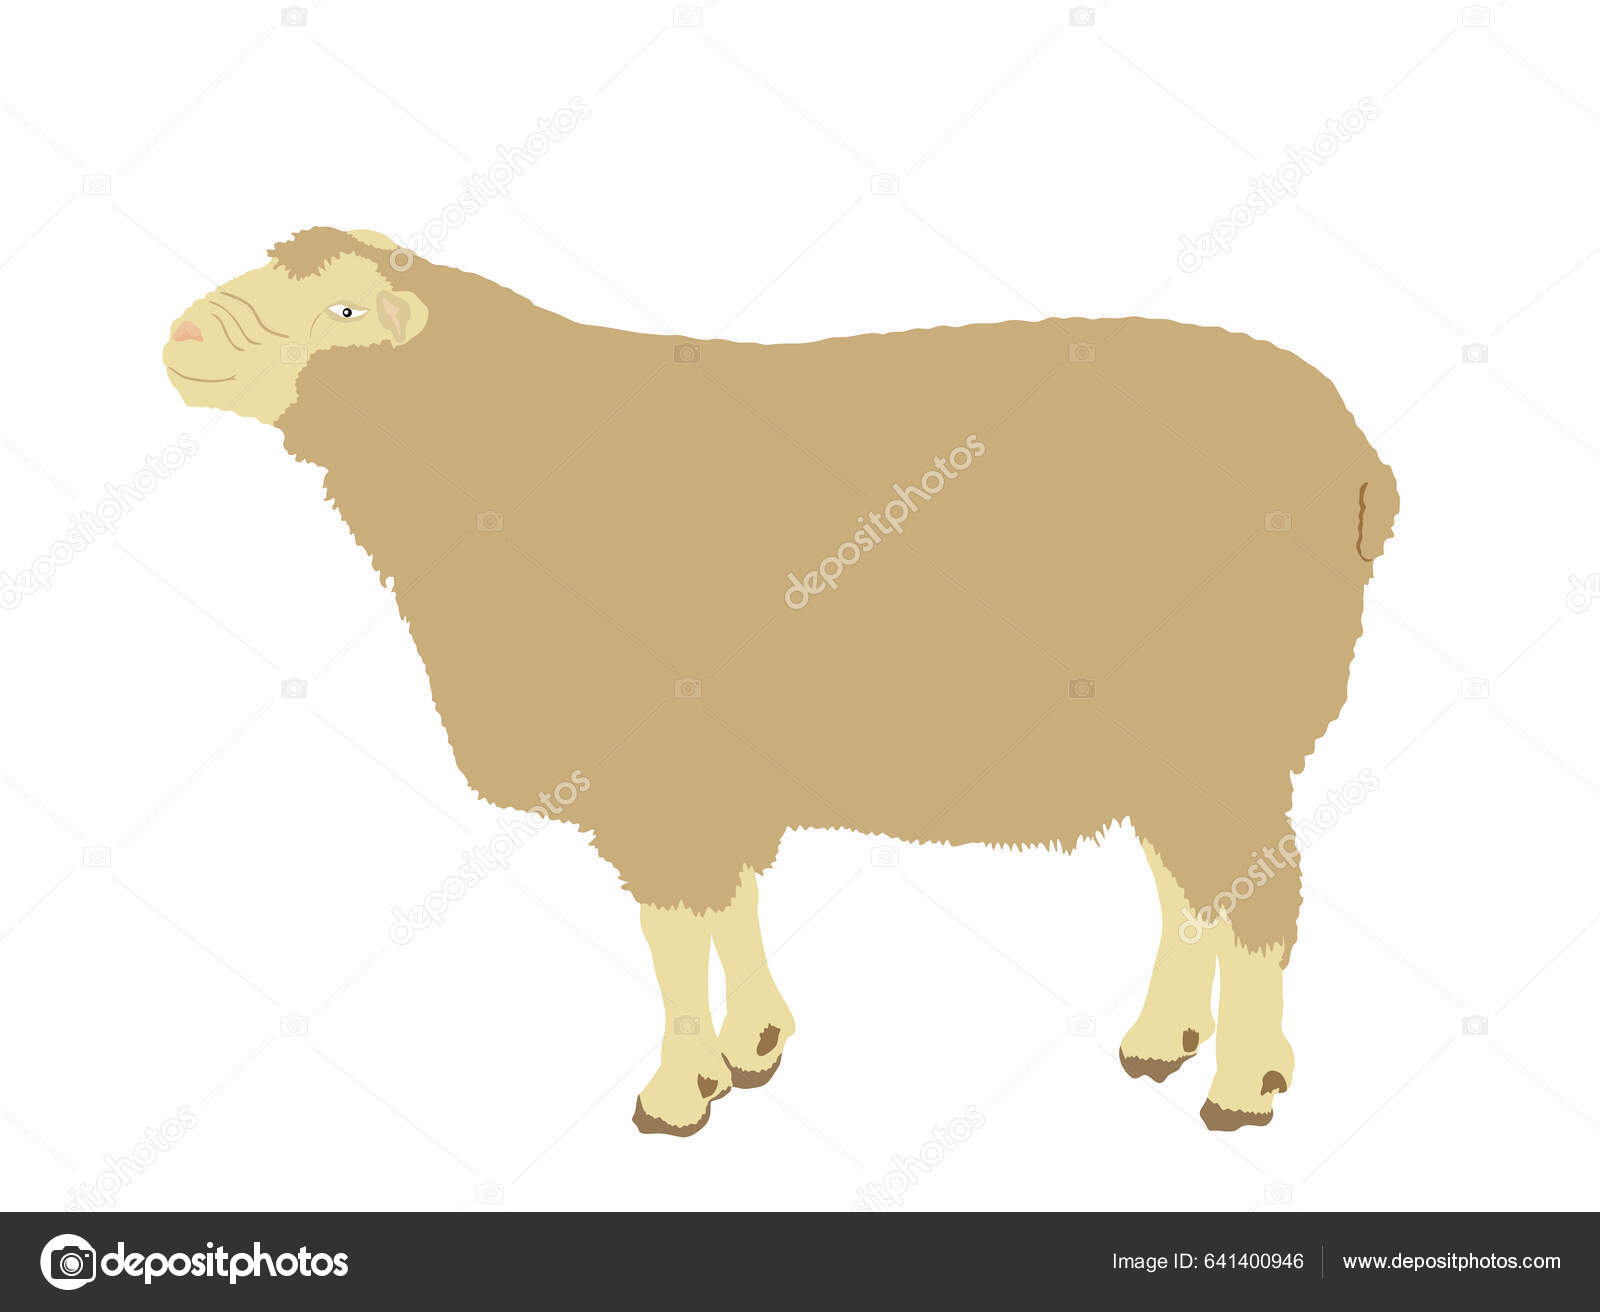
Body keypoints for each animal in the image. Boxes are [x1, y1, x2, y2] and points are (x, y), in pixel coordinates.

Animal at [163, 227, 1398, 1137]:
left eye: (343, 313)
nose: (181, 336)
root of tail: (1355, 456)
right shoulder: (708, 774)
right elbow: (728, 908)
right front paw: (752, 1048)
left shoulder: (656, 773)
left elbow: (673, 934)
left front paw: (676, 1096)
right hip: (1165, 747)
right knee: (1195, 888)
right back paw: (1161, 1042)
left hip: (1223, 730)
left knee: (1257, 896)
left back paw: (1244, 1086)